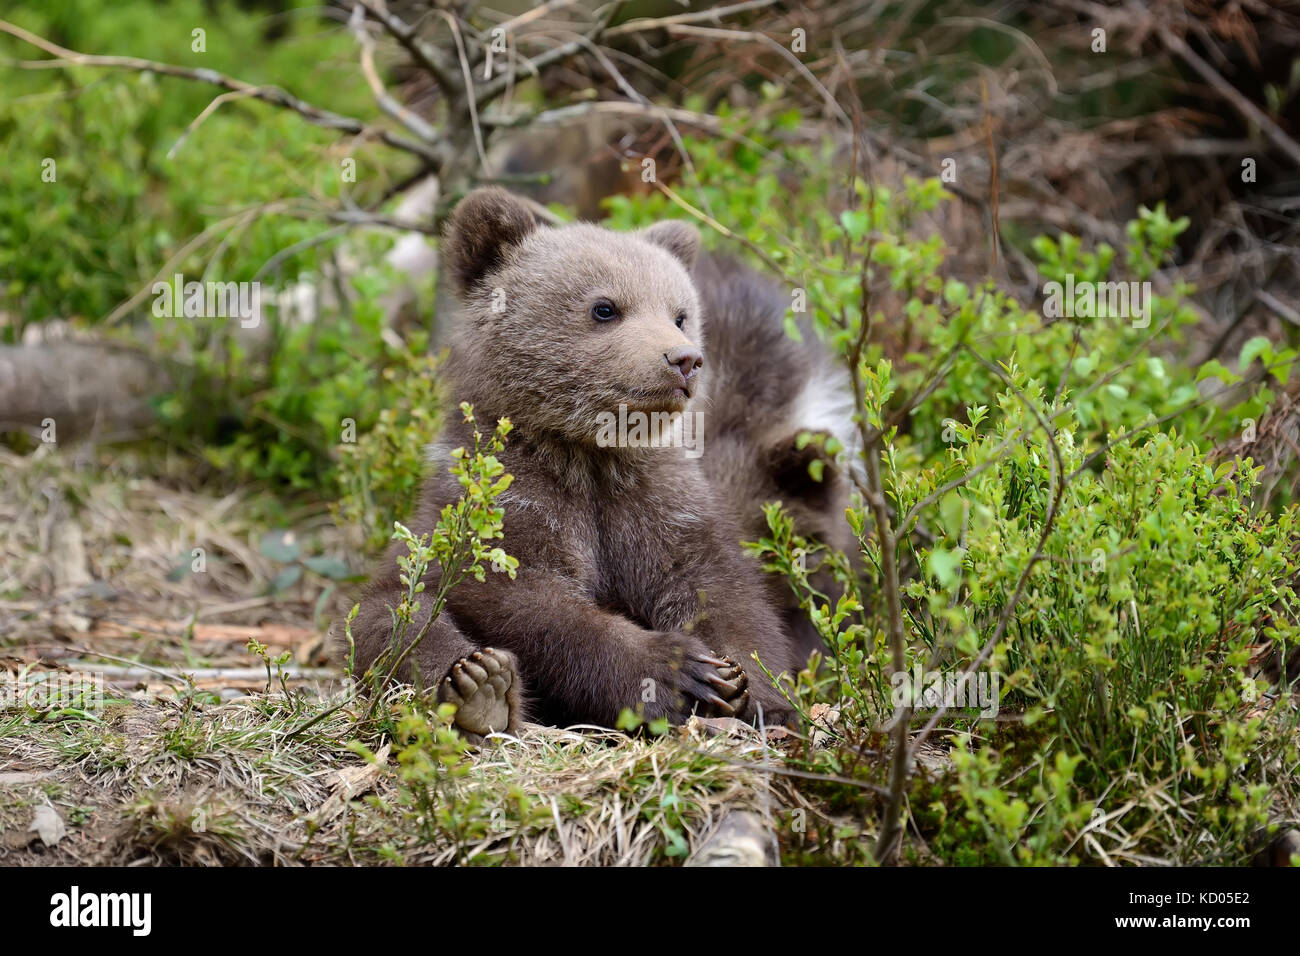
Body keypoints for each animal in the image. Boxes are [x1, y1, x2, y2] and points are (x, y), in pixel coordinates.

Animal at [346, 187, 854, 740]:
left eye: (679, 313)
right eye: (605, 307)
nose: (684, 359)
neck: (587, 452)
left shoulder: (664, 505)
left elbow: (722, 592)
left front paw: (760, 695)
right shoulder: (506, 503)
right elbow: (526, 597)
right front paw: (674, 671)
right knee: (394, 618)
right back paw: (480, 689)